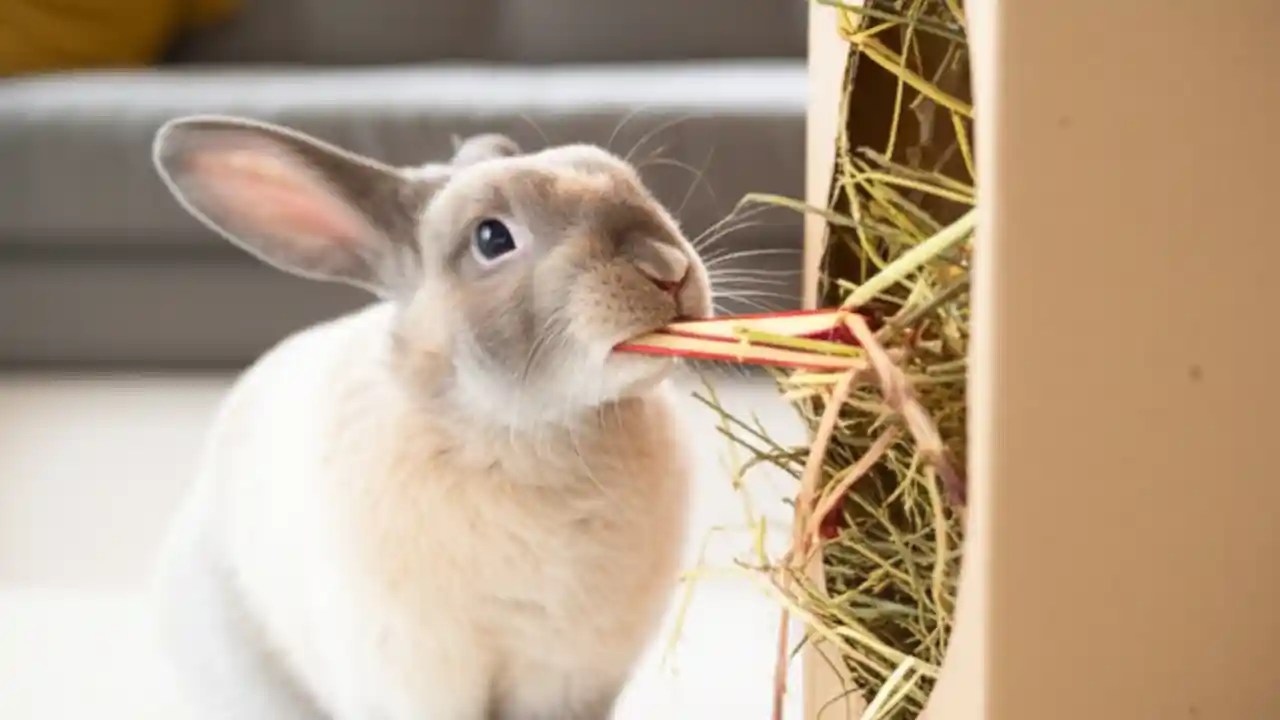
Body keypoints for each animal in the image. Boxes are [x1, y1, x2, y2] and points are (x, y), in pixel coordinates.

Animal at [148, 115, 713, 720]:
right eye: (492, 238)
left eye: (631, 183)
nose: (668, 269)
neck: (530, 438)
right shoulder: (418, 677)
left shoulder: (568, 677)